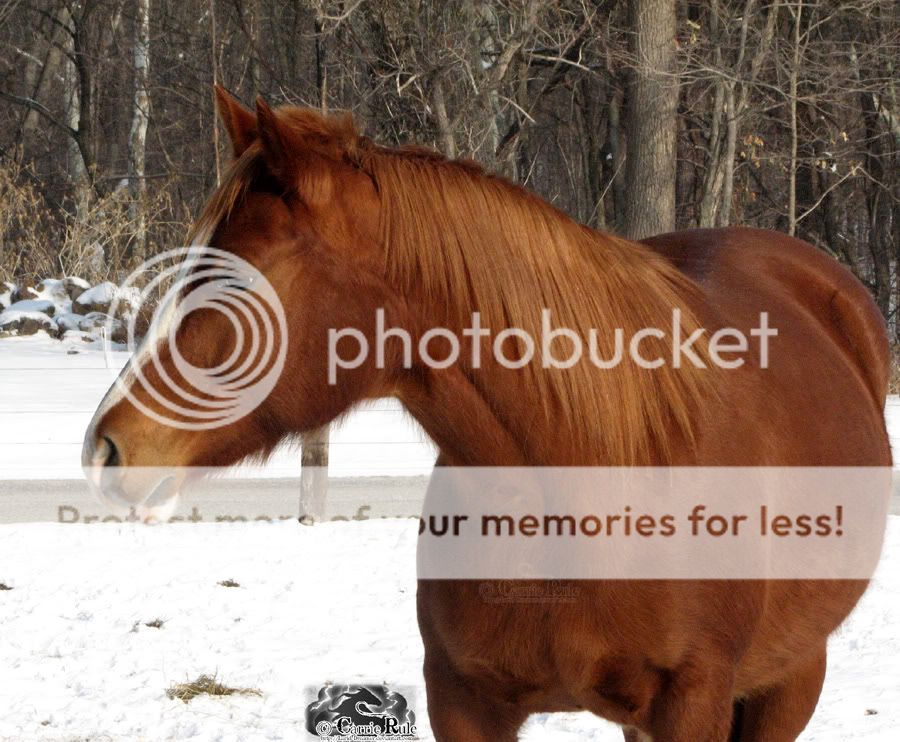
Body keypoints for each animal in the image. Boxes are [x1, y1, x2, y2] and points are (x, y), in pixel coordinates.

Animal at [82, 87, 891, 741]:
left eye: (238, 279)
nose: (107, 448)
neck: (590, 482)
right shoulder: (464, 700)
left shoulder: (693, 703)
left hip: (789, 680)